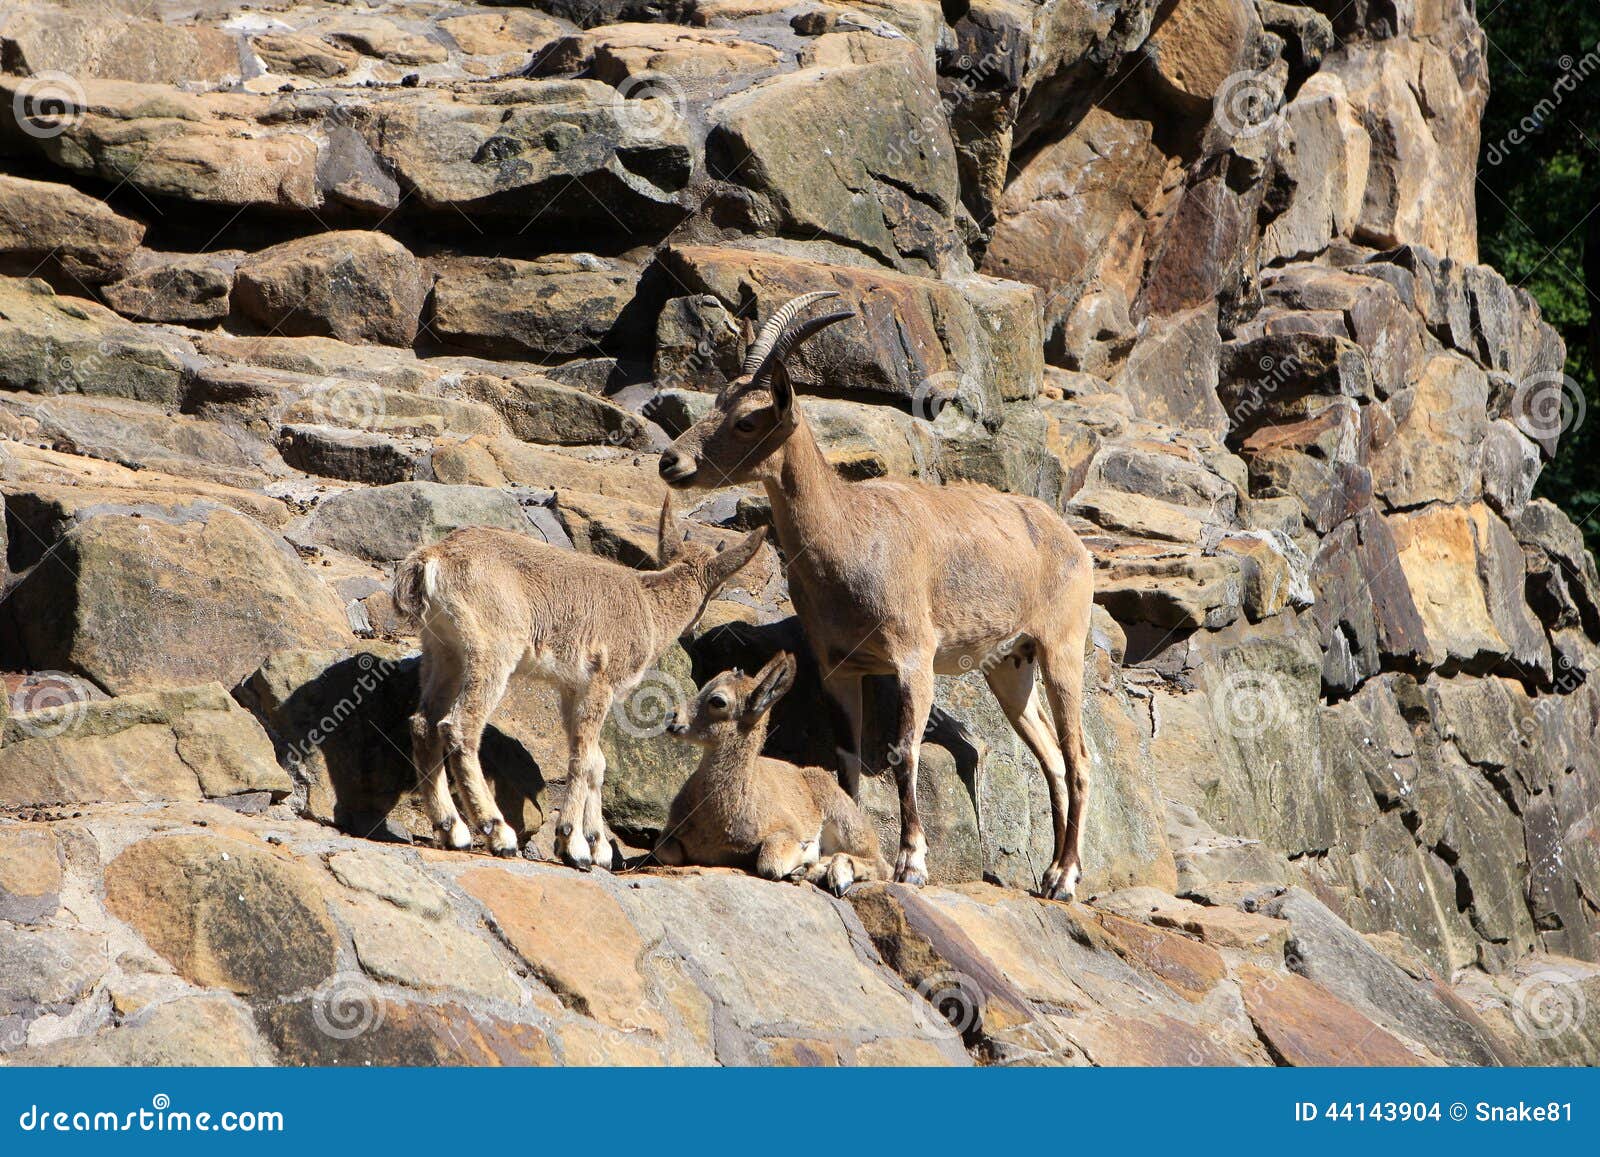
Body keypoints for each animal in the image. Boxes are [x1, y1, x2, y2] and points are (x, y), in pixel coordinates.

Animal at [392, 497, 766, 867]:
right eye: (718, 589)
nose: (695, 627)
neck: (649, 608)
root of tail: (432, 558)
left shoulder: (572, 689)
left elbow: (596, 762)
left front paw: (597, 846)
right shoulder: (600, 684)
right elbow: (584, 759)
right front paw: (573, 845)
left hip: (443, 651)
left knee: (423, 723)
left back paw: (452, 830)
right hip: (491, 653)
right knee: (460, 727)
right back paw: (499, 834)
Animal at [654, 652, 891, 895]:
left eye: (718, 700)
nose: (672, 718)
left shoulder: (787, 827)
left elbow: (770, 863)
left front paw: (807, 853)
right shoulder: (670, 833)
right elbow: (664, 851)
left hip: (846, 817)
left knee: (882, 865)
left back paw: (837, 875)